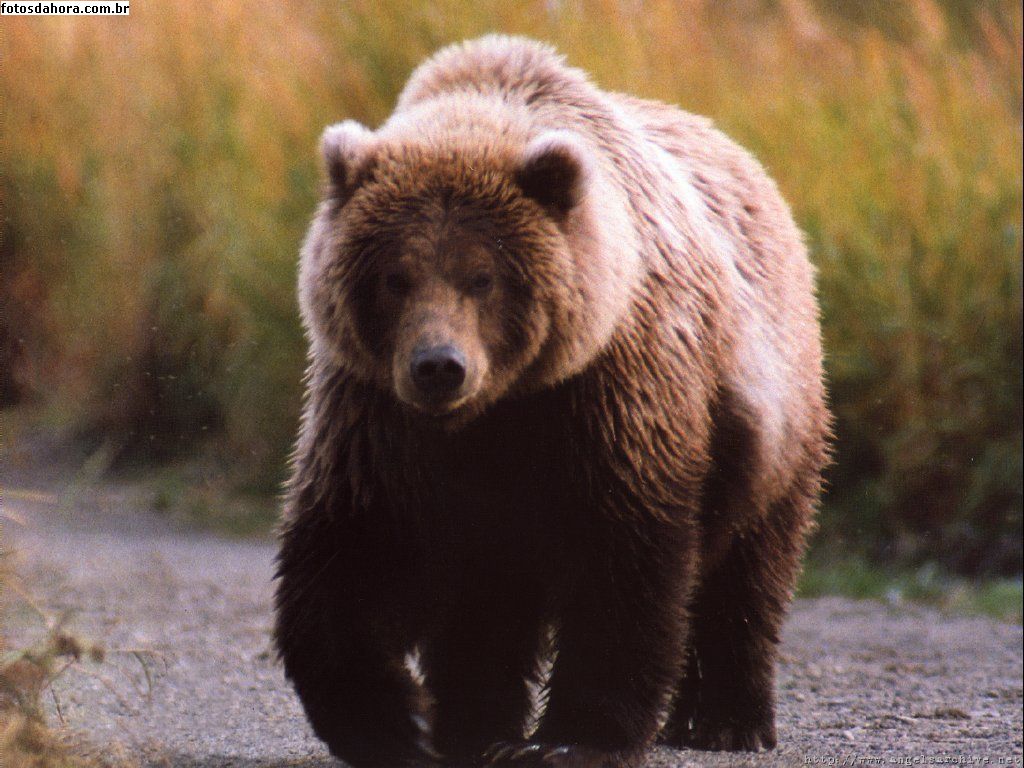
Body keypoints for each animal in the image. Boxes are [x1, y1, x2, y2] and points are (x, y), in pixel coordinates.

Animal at [274, 35, 830, 768]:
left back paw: (726, 719)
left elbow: (621, 558)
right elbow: (354, 547)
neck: (498, 408)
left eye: (482, 277)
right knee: (487, 607)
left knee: (748, 567)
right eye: (395, 277)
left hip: (771, 417)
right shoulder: (376, 416)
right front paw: (398, 722)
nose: (439, 367)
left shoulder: (609, 393)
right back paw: (479, 725)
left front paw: (576, 735)